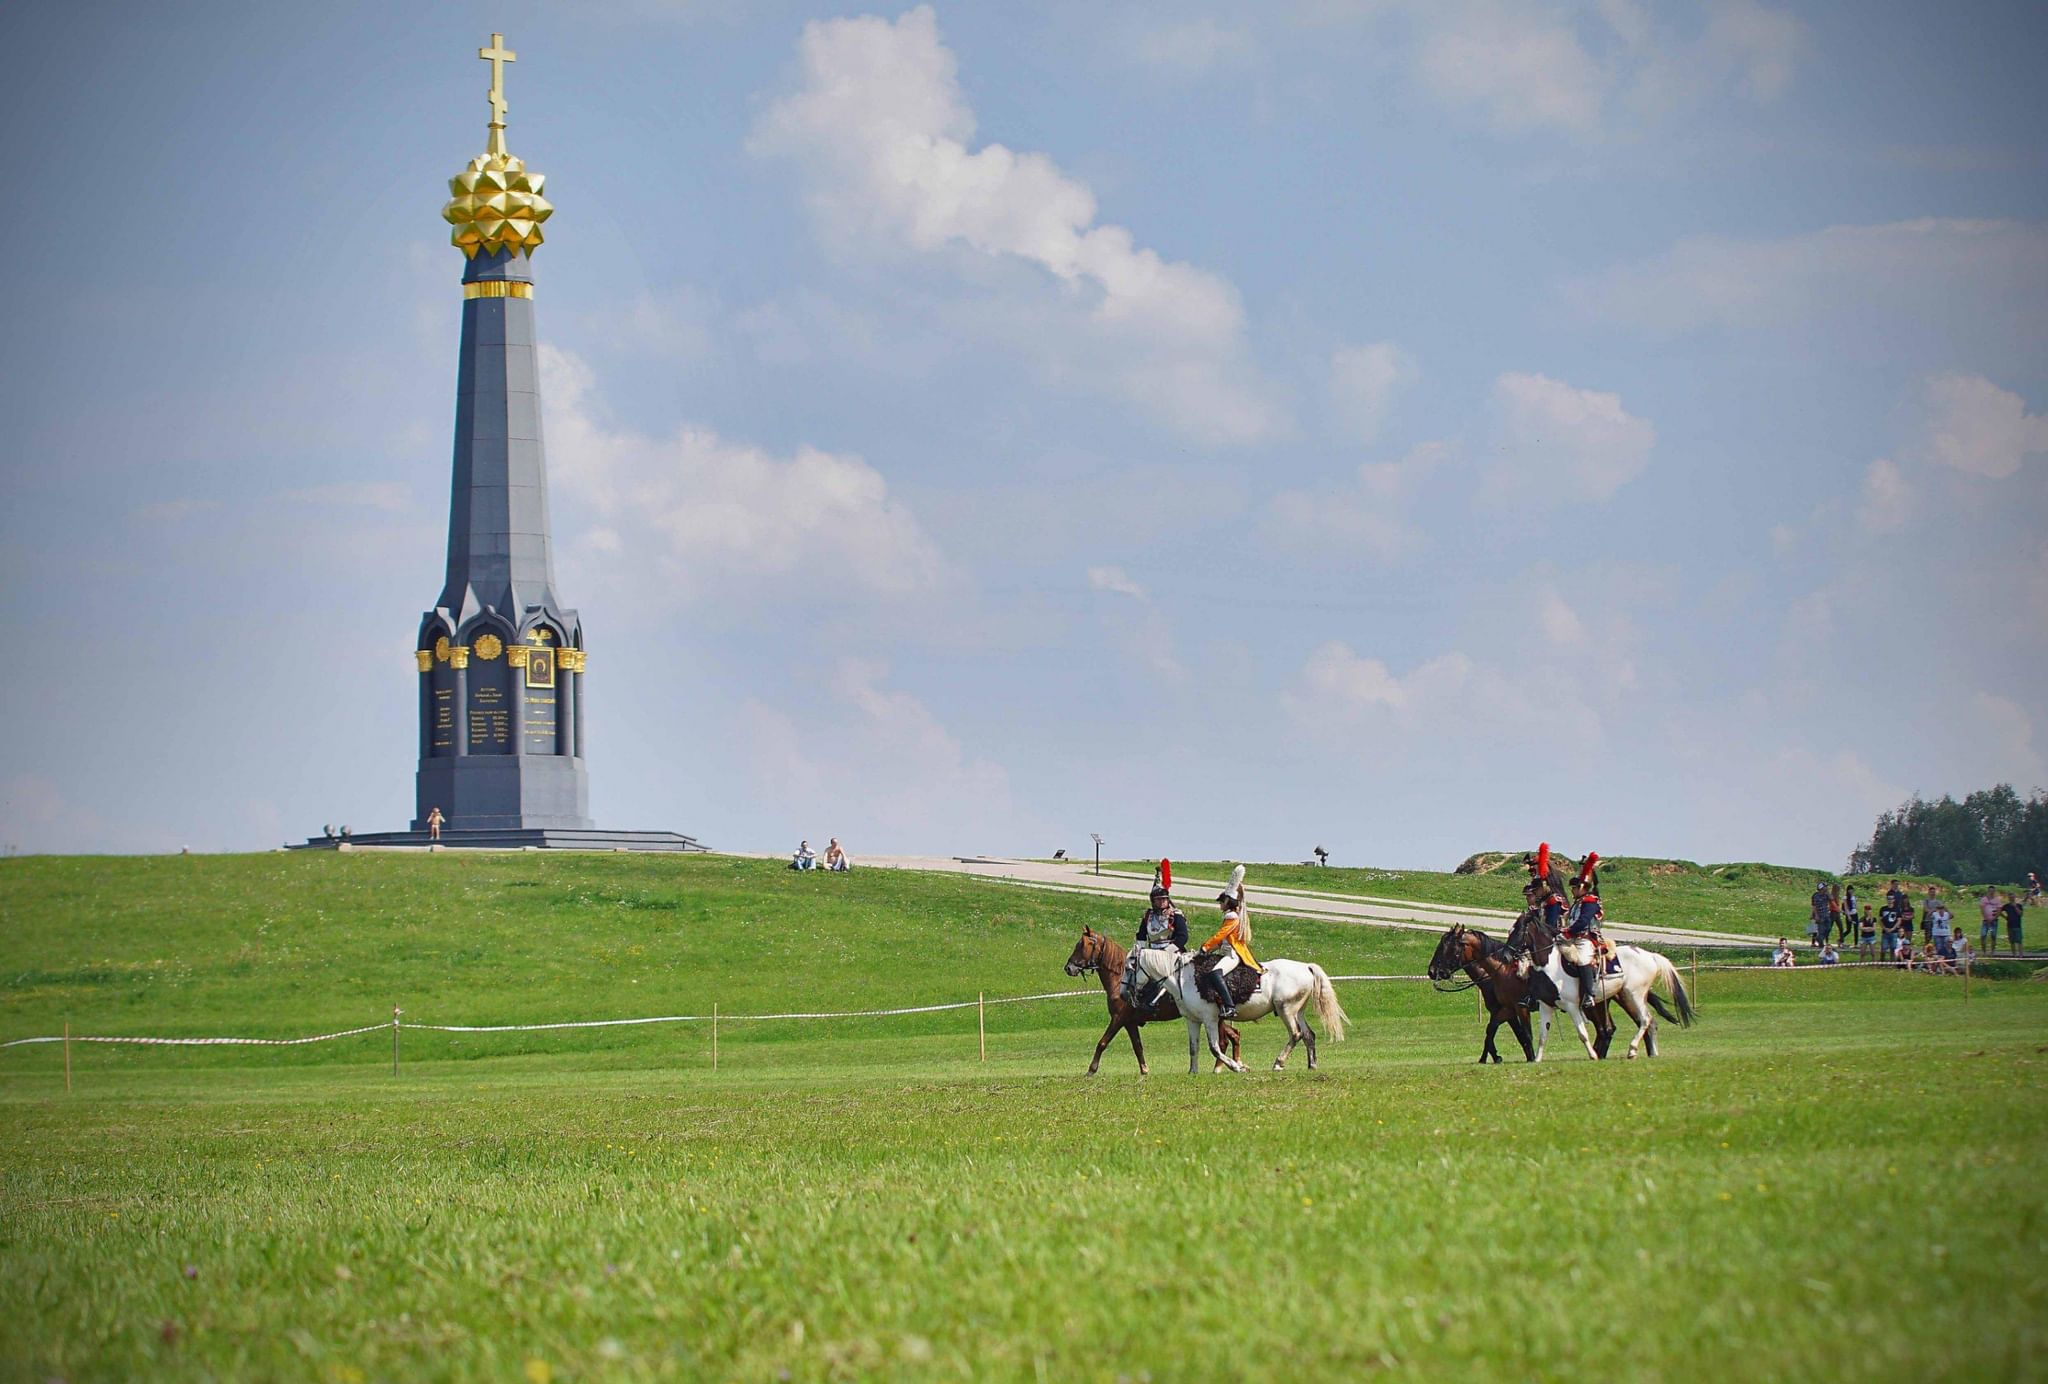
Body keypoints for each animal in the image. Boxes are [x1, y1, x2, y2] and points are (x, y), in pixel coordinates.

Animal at [1064, 929, 1236, 1080]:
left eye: (1082, 945)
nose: (1068, 968)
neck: (1120, 979)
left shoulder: (1118, 1019)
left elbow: (1102, 1043)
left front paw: (1091, 1070)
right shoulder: (1129, 1023)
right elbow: (1137, 1046)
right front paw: (1144, 1070)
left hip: (1213, 1018)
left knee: (1224, 1040)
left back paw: (1219, 1067)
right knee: (1234, 1035)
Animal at [1130, 945, 1351, 1072]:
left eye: (1130, 966)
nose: (1127, 993)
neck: (1184, 978)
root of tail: (1306, 966)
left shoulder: (1210, 1019)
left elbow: (1215, 1047)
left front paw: (1236, 1067)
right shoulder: (1192, 1020)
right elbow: (1194, 1048)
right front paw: (1193, 1072)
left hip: (1286, 1009)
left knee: (1296, 1034)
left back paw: (1278, 1063)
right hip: (1298, 1011)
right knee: (1308, 1035)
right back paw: (1312, 1065)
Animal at [1425, 925, 1540, 1064]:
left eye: (1447, 947)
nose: (1432, 971)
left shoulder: (1511, 1009)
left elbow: (1517, 1034)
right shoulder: (1504, 1011)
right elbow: (1492, 1031)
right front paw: (1491, 1057)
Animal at [1531, 941, 1687, 1056]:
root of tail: (1651, 956)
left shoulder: (1571, 1005)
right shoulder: (1545, 1005)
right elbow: (1541, 1034)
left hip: (1630, 997)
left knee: (1642, 1021)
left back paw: (1630, 1050)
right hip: (1620, 999)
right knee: (1636, 1024)